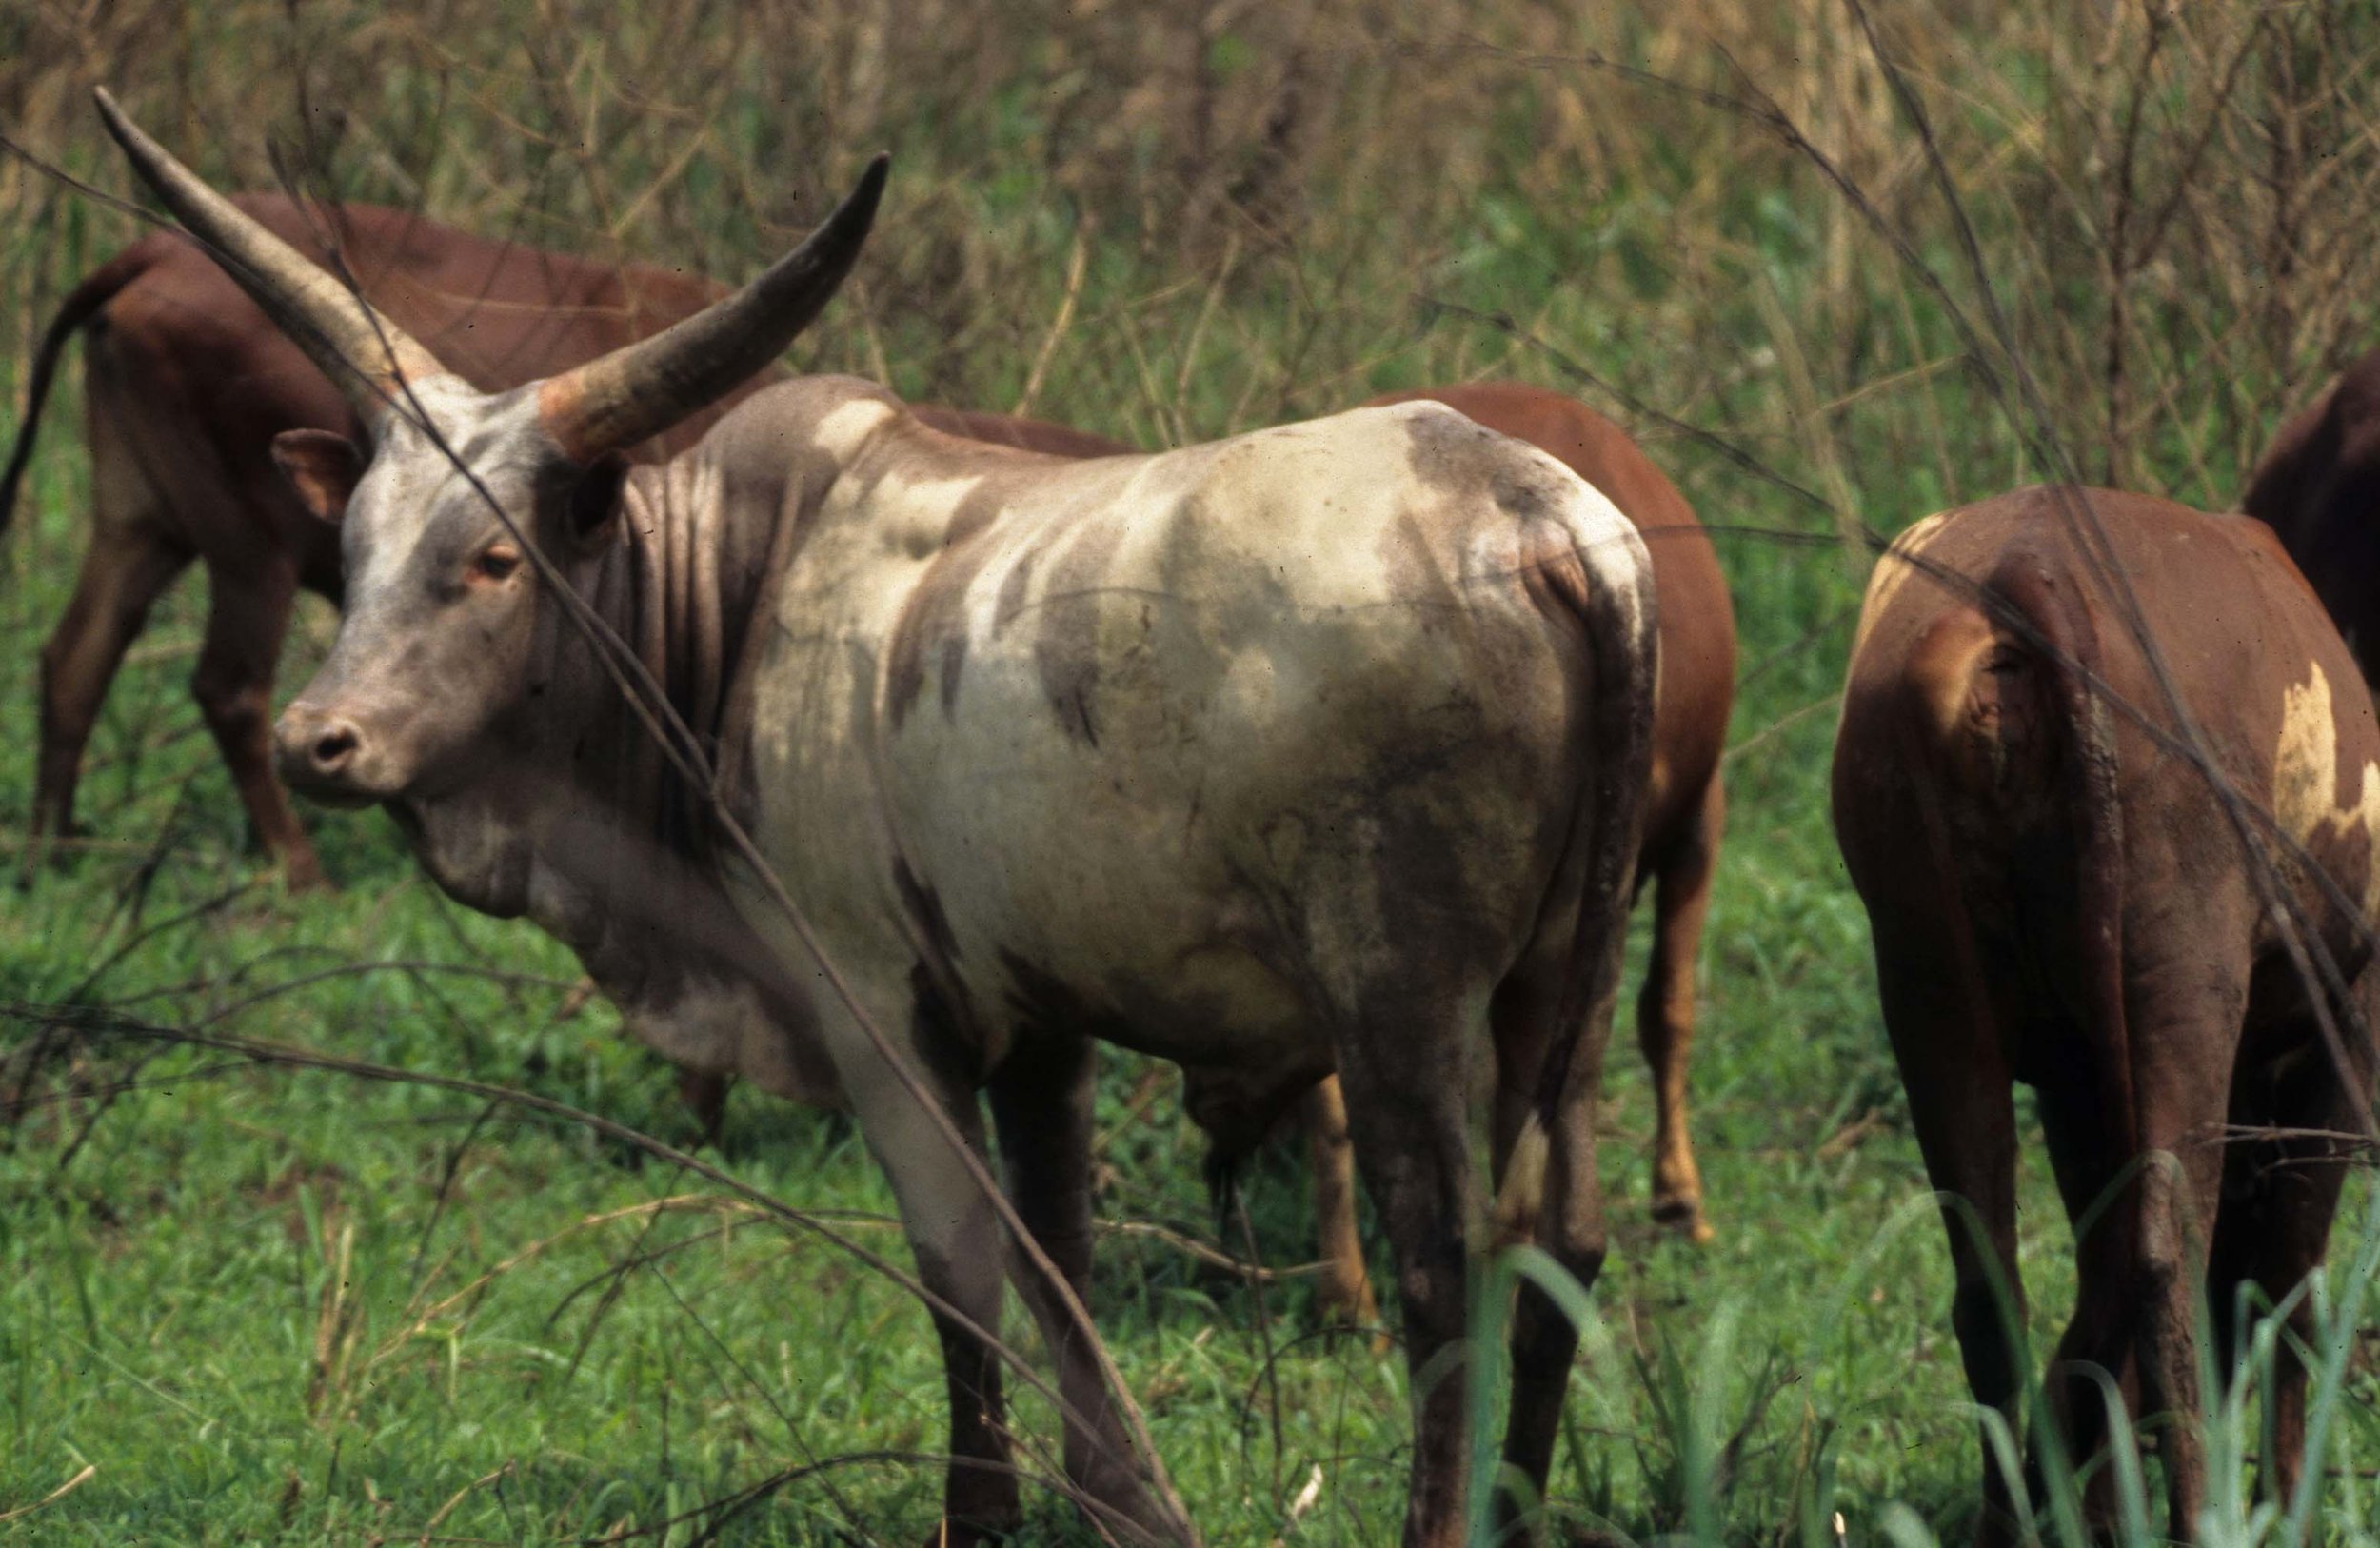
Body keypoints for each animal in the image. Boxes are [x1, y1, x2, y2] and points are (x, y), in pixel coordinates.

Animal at [0, 196, 1106, 889]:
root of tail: (154, 253)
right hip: (246, 547)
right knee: (226, 690)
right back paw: (299, 876)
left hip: (139, 518)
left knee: (72, 659)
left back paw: (51, 856)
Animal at [1831, 485, 2379, 1543]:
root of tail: (2029, 568)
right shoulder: (2338, 1039)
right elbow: (2288, 1284)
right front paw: (2287, 1500)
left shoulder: (2071, 1077)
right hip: (2181, 985)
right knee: (2167, 1262)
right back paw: (2198, 1516)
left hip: (1929, 985)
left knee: (1995, 1283)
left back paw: (2018, 1514)